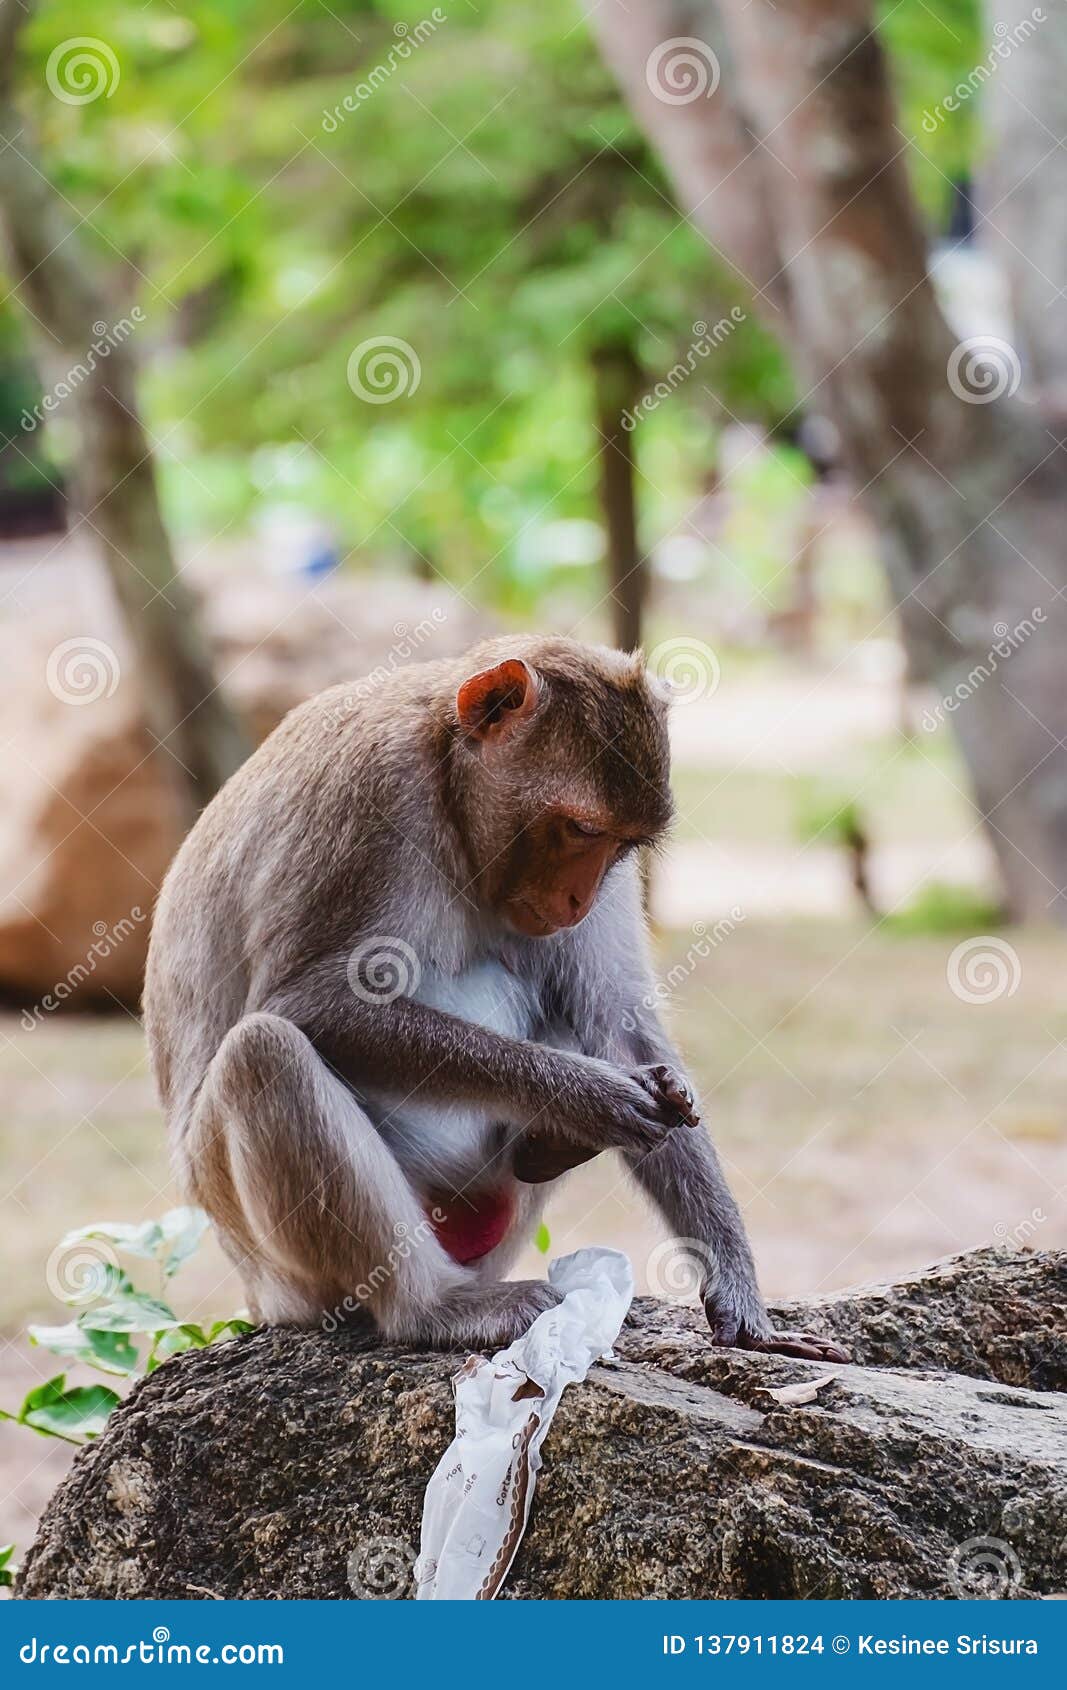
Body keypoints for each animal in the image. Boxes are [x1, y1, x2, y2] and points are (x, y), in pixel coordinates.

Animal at [143, 635, 847, 1361]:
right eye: (580, 830)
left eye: (621, 844)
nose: (578, 897)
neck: (448, 793)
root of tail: (259, 1299)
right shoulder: (368, 797)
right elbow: (305, 1003)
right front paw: (594, 1097)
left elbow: (616, 1022)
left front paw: (739, 1292)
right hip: (277, 1265)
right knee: (265, 1053)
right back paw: (432, 1307)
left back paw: (546, 1148)